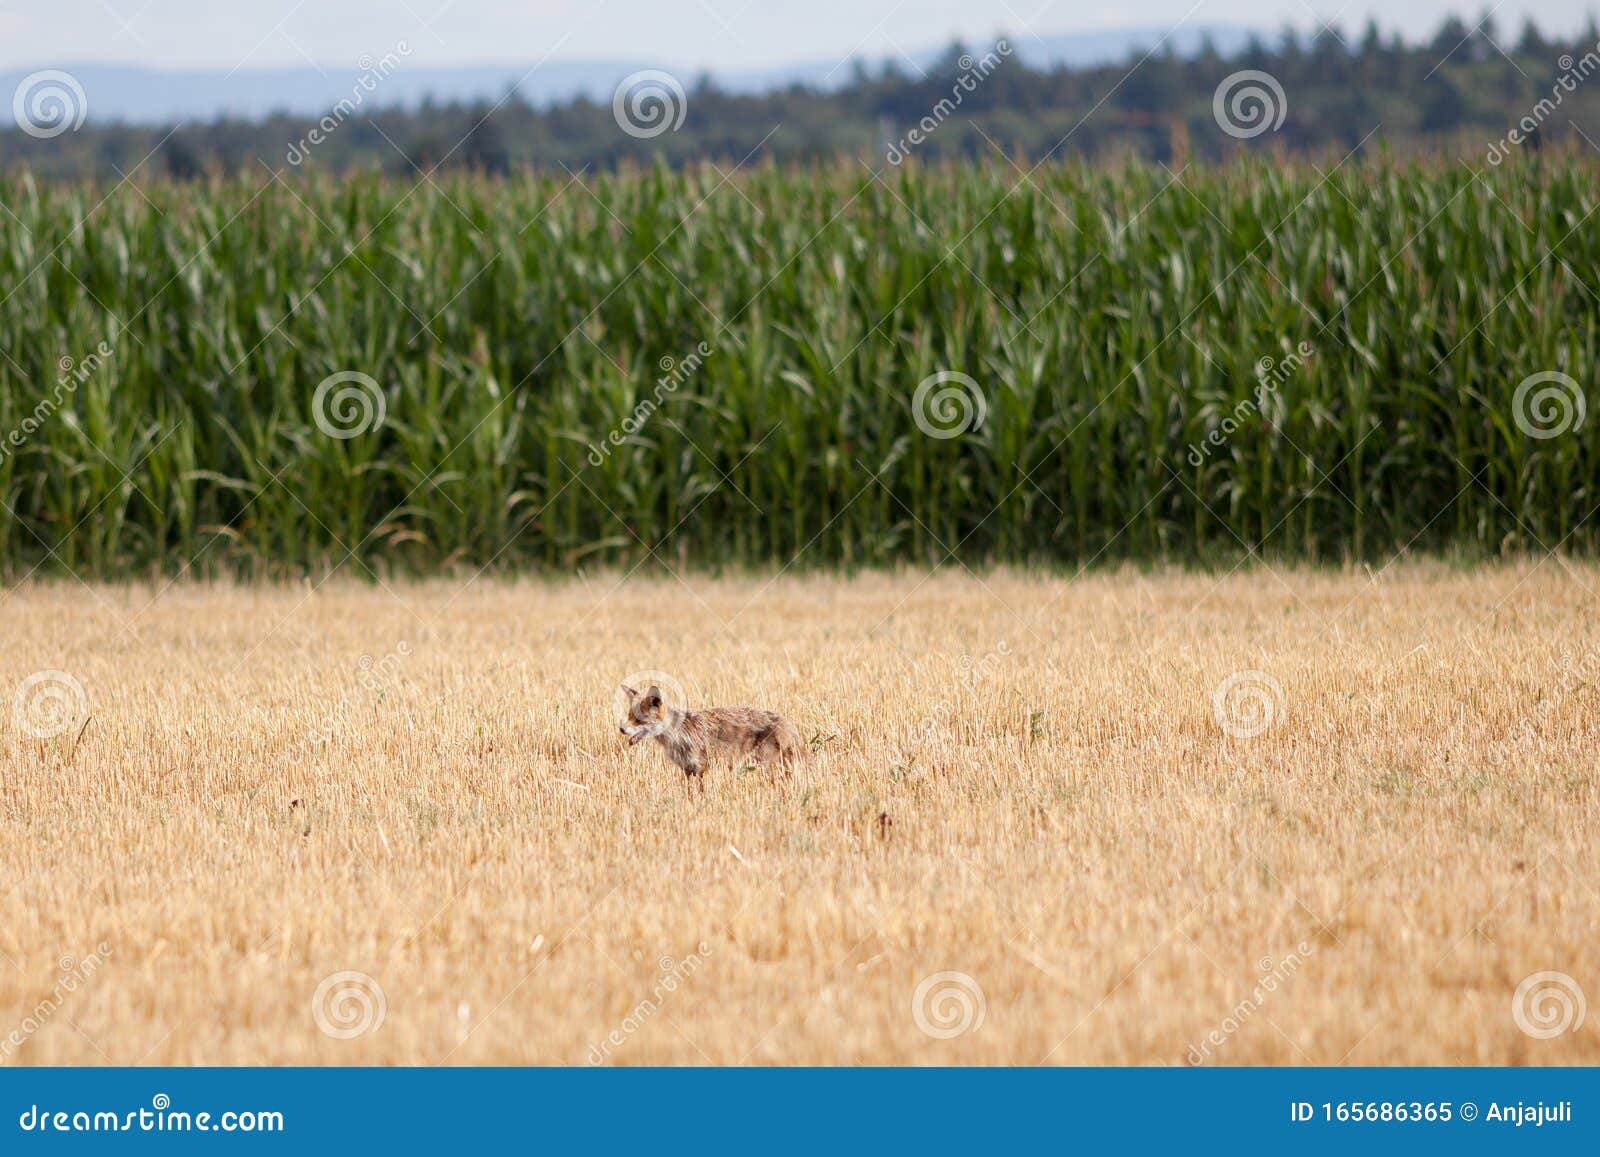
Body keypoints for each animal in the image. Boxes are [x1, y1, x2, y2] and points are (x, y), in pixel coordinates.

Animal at [618, 683, 806, 793]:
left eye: (639, 720)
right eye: (629, 716)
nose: (621, 729)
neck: (677, 735)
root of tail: (787, 723)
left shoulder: (702, 767)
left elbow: (701, 791)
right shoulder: (687, 769)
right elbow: (689, 793)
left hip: (768, 765)